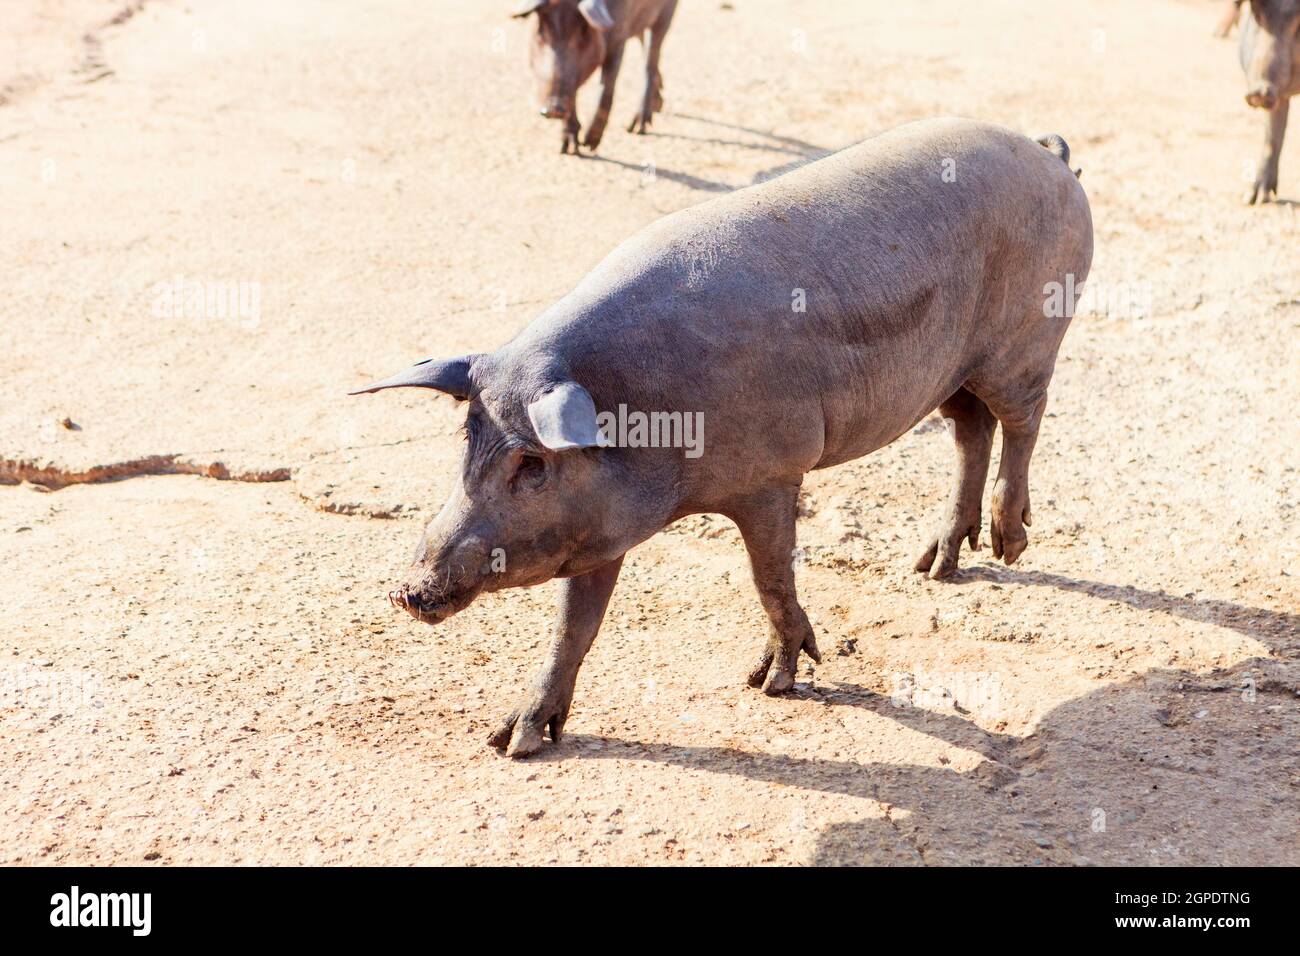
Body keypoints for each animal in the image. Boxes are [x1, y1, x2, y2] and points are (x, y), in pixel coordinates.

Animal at [351, 118, 1093, 757]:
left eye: (532, 464)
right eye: (466, 440)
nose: (407, 591)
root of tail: (1049, 156)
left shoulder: (771, 473)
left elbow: (768, 577)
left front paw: (771, 683)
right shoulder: (597, 530)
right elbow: (573, 626)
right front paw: (512, 742)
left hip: (1028, 341)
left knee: (1023, 420)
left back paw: (1007, 544)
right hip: (954, 374)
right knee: (972, 432)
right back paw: (933, 567)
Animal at [512, 0, 678, 154]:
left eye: (583, 32)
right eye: (541, 33)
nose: (553, 109)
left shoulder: (619, 36)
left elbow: (608, 85)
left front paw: (590, 144)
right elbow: (573, 92)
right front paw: (569, 150)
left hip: (665, 16)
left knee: (650, 59)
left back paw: (636, 129)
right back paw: (658, 105)